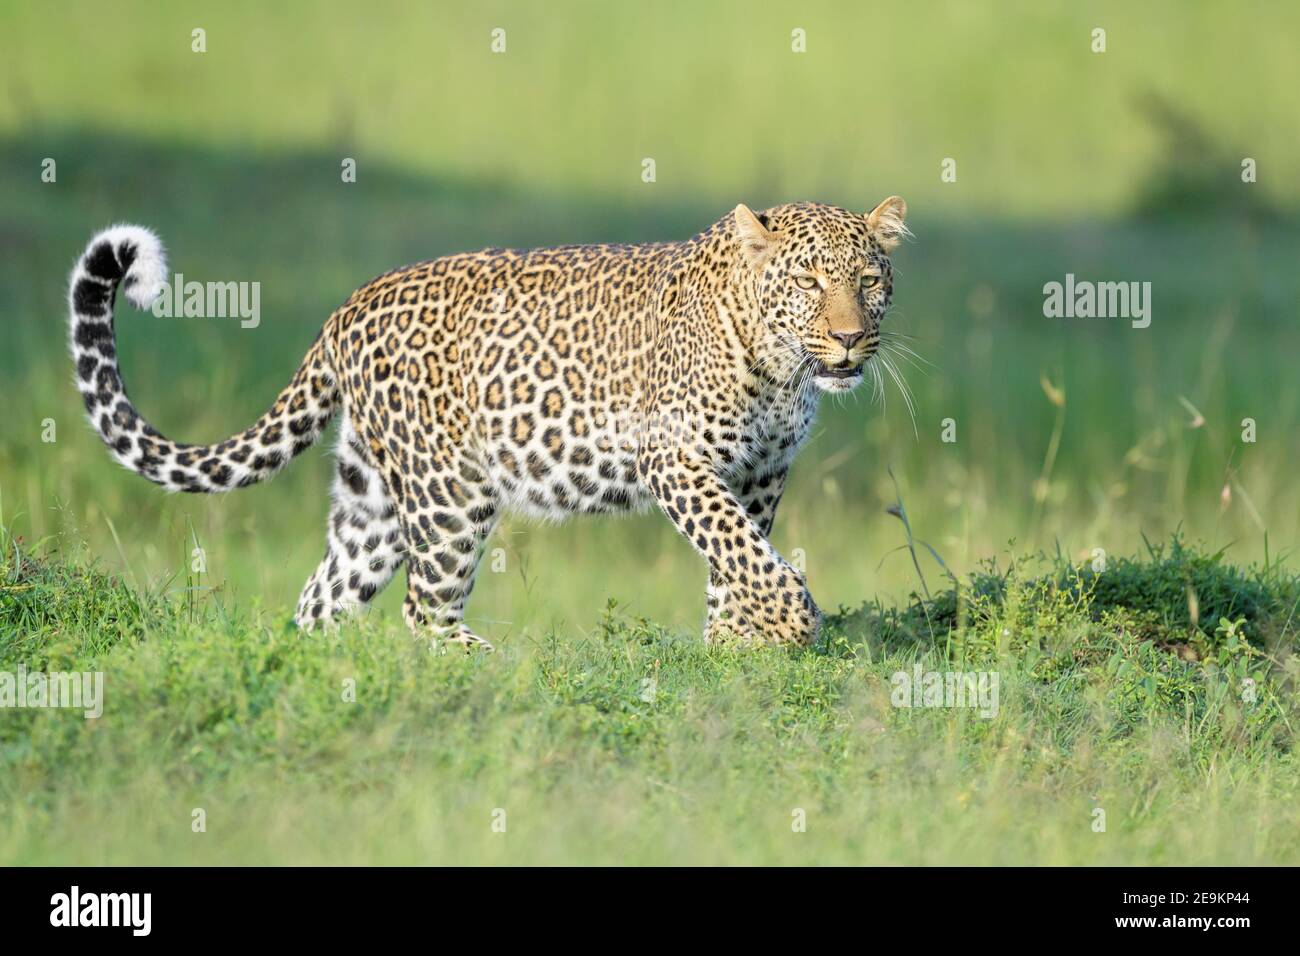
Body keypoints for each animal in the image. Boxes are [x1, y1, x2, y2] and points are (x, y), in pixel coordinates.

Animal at [66, 197, 908, 649]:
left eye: (870, 281)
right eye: (809, 282)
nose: (848, 339)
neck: (776, 364)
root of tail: (348, 307)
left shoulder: (762, 470)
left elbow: (739, 555)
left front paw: (735, 644)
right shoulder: (675, 459)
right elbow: (742, 550)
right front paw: (792, 624)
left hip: (374, 501)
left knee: (320, 600)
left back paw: (316, 669)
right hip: (449, 494)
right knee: (422, 609)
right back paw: (493, 661)